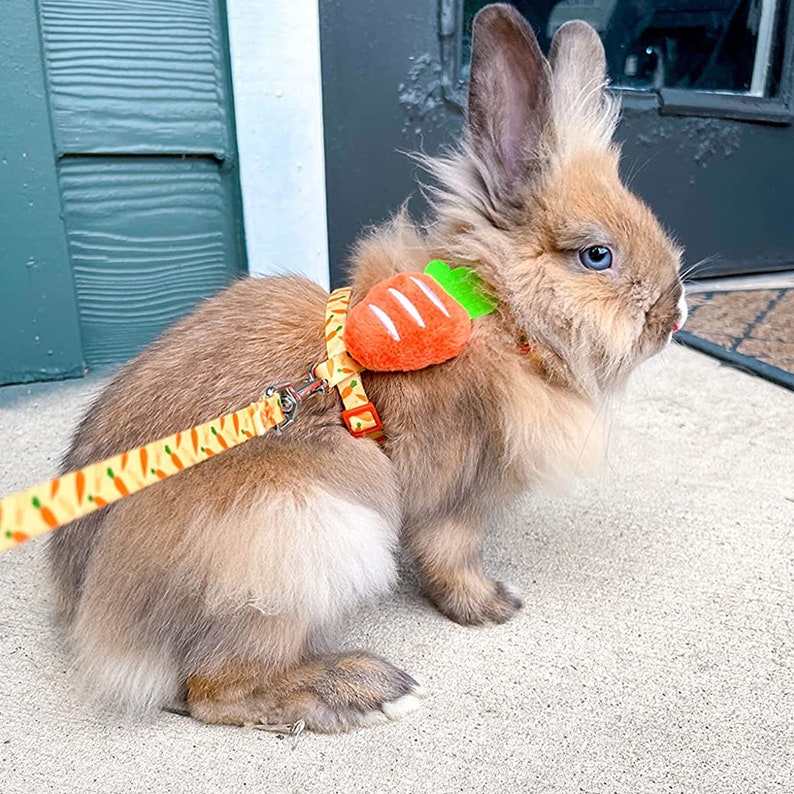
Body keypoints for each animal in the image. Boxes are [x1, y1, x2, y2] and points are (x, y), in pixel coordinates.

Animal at [49, 4, 687, 733]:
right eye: (597, 256)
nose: (674, 316)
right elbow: (450, 556)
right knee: (215, 690)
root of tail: (94, 619)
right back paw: (357, 688)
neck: (497, 313)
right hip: (306, 532)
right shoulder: (457, 500)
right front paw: (492, 606)